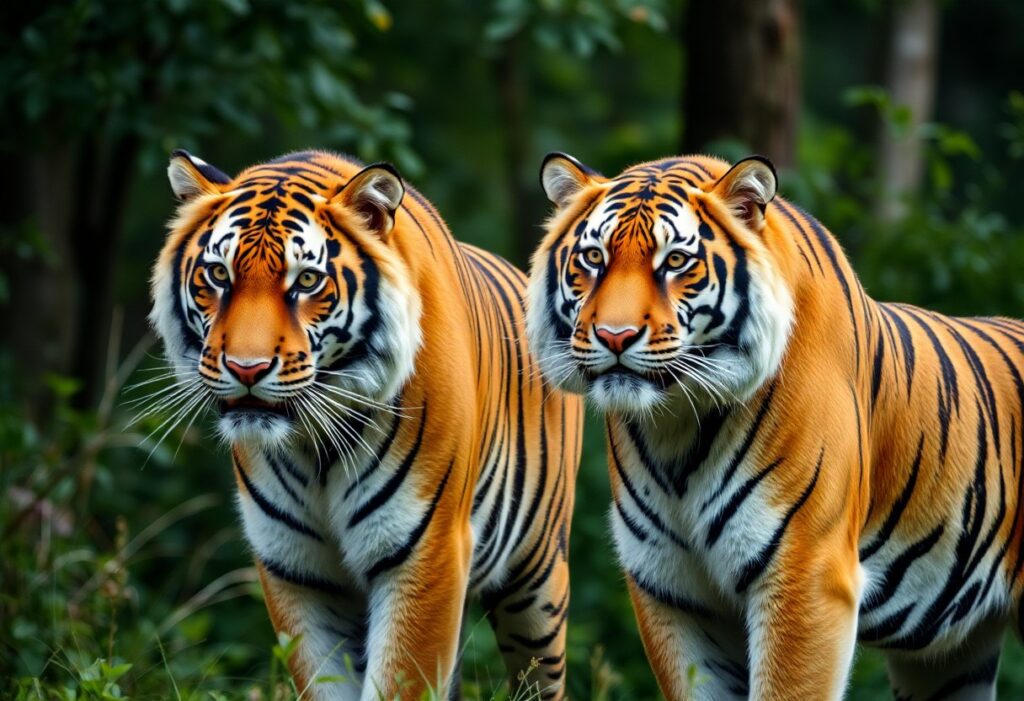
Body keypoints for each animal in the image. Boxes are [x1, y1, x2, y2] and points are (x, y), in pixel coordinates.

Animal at [149, 149, 583, 700]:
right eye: (219, 275)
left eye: (306, 281)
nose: (247, 369)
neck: (314, 445)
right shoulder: (296, 568)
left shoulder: (426, 554)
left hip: (537, 587)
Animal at [526, 151, 1024, 700]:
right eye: (594, 259)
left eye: (675, 262)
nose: (615, 336)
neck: (677, 428)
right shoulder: (670, 587)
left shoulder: (806, 573)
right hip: (947, 660)